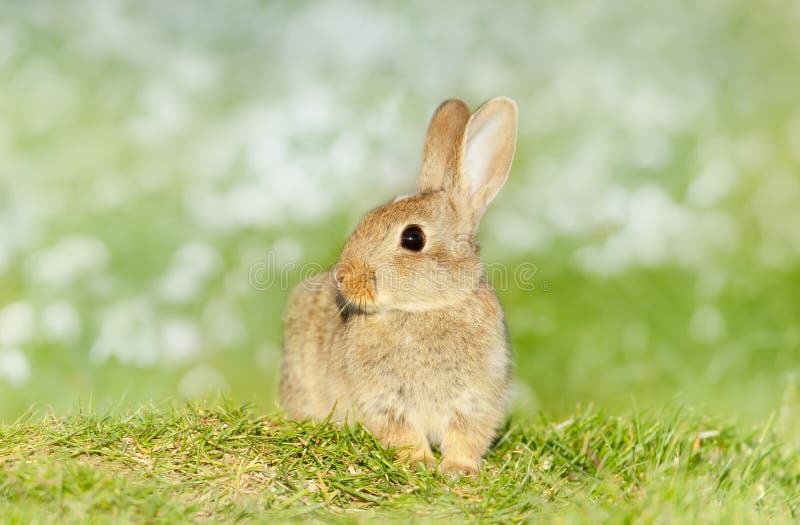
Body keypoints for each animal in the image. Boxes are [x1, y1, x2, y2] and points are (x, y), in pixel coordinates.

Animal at [280, 97, 517, 476]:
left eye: (413, 238)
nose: (344, 278)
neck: (426, 308)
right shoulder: (383, 399)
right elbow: (402, 432)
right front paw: (419, 462)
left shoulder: (477, 397)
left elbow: (467, 435)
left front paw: (458, 469)